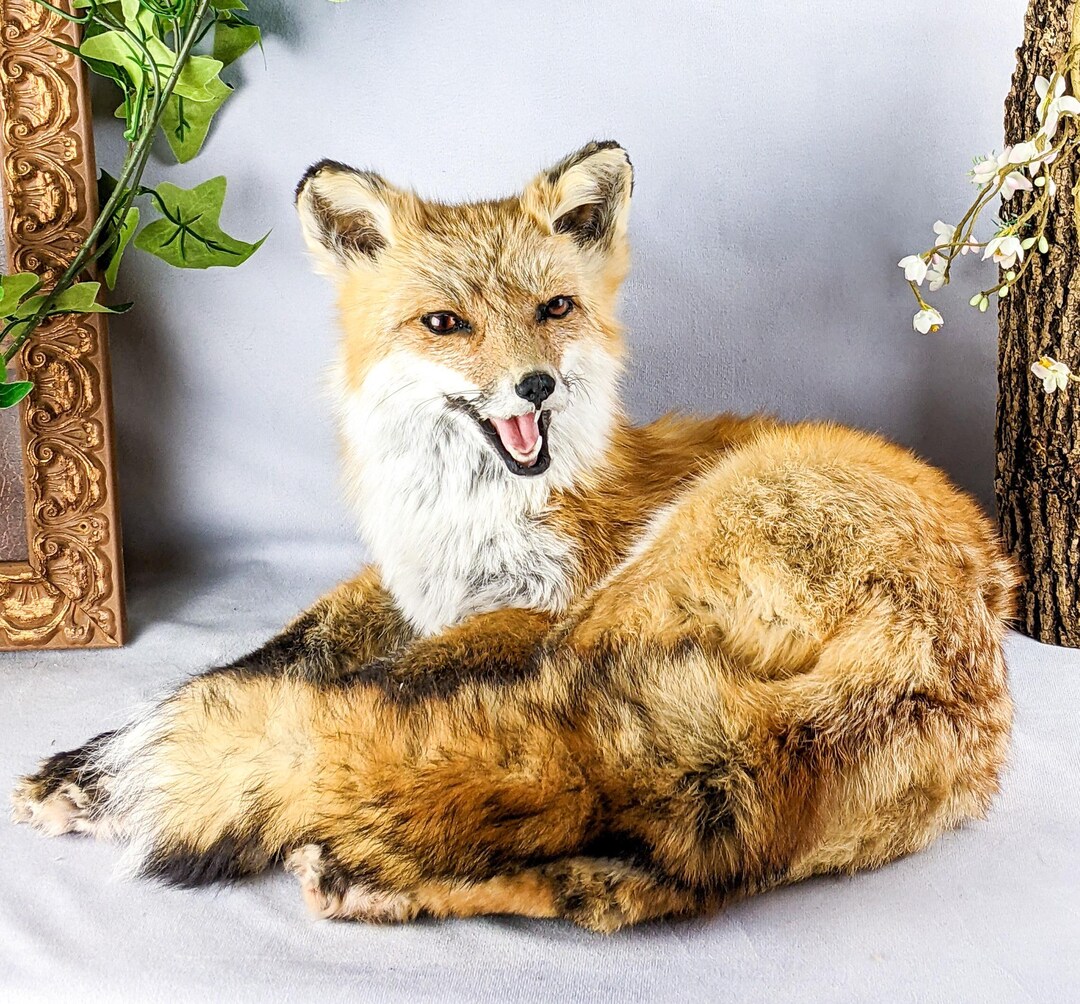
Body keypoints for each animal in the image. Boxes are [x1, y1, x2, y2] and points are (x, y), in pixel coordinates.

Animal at [12, 142, 1016, 933]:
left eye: (555, 308)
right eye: (444, 324)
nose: (536, 384)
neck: (470, 512)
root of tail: (940, 652)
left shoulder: (537, 608)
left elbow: (370, 686)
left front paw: (138, 761)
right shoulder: (408, 586)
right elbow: (272, 657)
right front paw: (91, 760)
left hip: (636, 588)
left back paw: (360, 856)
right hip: (718, 784)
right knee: (650, 879)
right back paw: (376, 884)